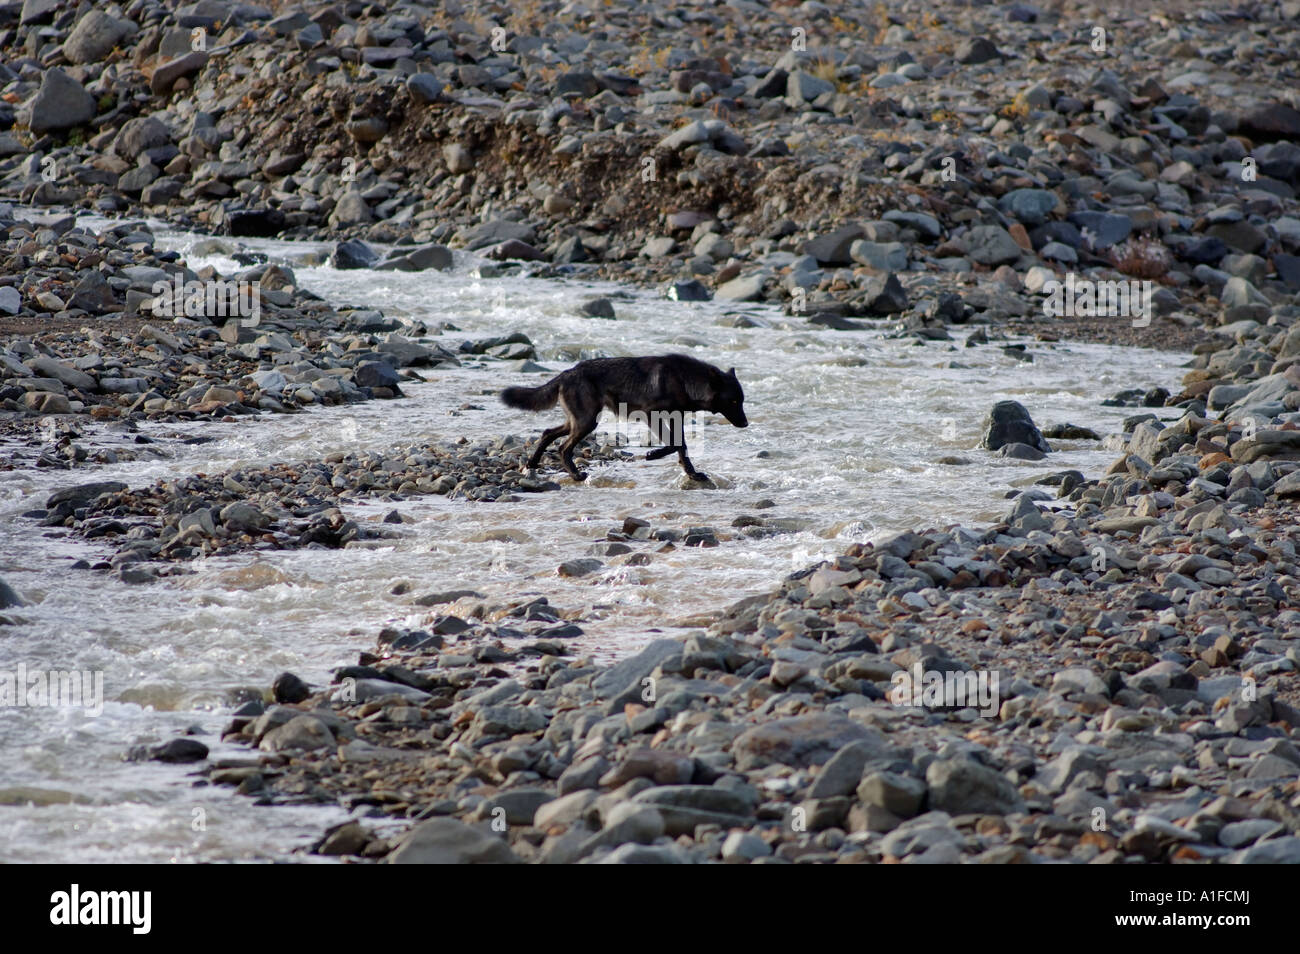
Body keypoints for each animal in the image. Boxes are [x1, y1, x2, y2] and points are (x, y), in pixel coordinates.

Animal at [500, 354, 748, 482]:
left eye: (741, 401)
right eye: (734, 402)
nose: (746, 423)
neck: (684, 380)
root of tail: (566, 372)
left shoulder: (675, 419)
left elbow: (681, 446)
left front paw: (692, 473)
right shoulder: (650, 415)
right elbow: (674, 444)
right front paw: (652, 455)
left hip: (579, 421)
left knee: (547, 433)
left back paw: (532, 464)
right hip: (587, 422)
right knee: (562, 447)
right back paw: (576, 475)